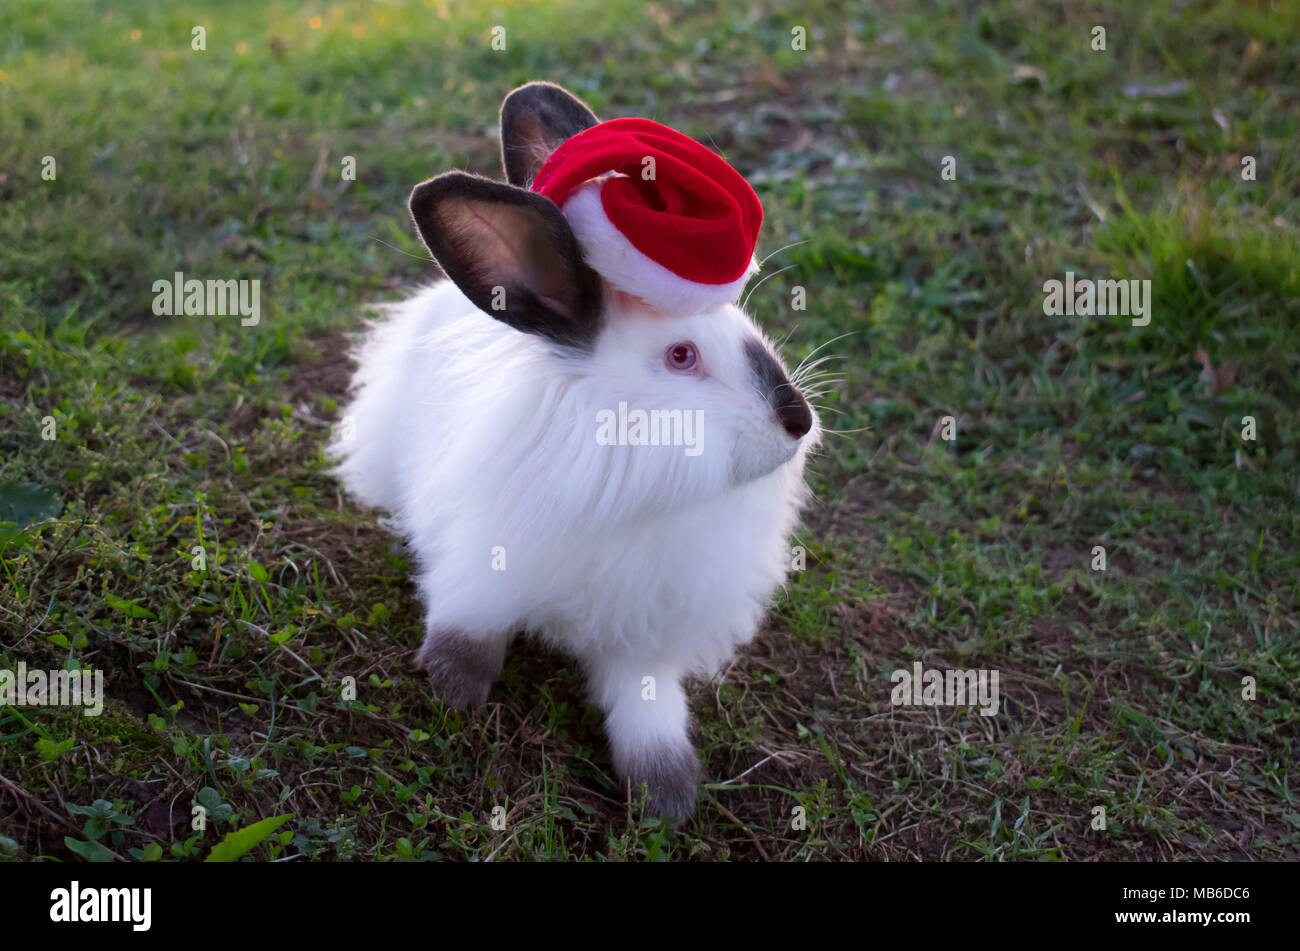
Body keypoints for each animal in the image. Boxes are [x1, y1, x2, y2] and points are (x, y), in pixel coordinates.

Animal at [330, 81, 820, 821]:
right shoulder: (482, 571)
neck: (640, 468)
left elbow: (649, 712)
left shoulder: (646, 639)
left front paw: (668, 796)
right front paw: (454, 694)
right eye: (681, 356)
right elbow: (467, 631)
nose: (799, 421)